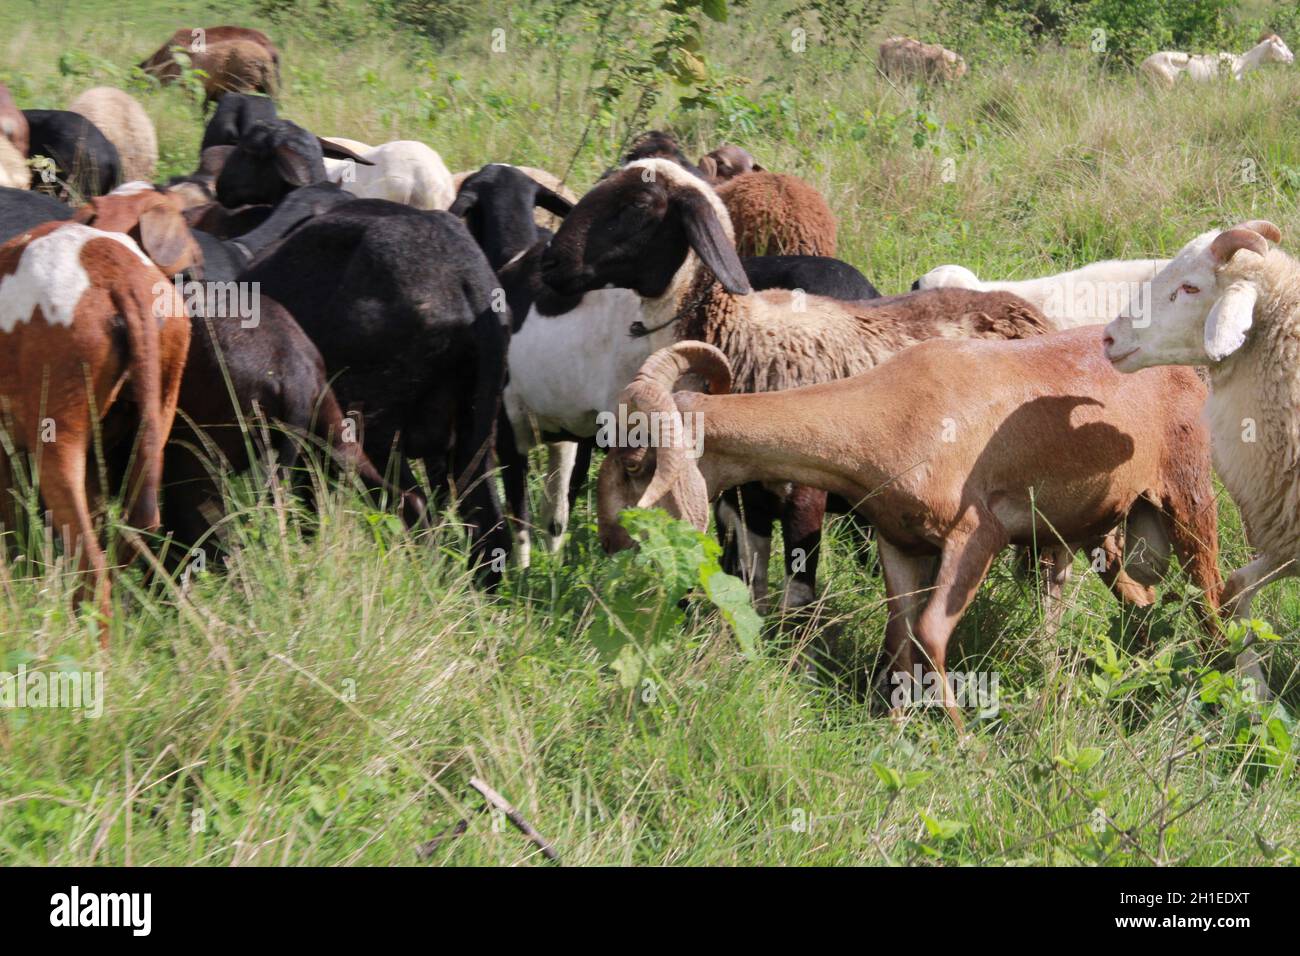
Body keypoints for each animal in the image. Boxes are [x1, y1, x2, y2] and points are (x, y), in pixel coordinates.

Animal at [536, 157, 1052, 607]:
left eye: (638, 204)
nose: (548, 265)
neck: (745, 333)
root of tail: (1024, 309)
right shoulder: (749, 493)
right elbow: (751, 577)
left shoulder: (806, 491)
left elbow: (799, 590)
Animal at [597, 332, 1222, 725]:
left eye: (632, 463)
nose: (608, 540)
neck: (890, 411)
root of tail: (1186, 370)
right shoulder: (900, 545)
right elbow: (901, 639)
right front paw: (896, 731)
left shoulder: (975, 536)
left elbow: (929, 635)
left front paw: (967, 744)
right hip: (1093, 533)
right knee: (1120, 599)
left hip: (1188, 499)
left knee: (1210, 597)